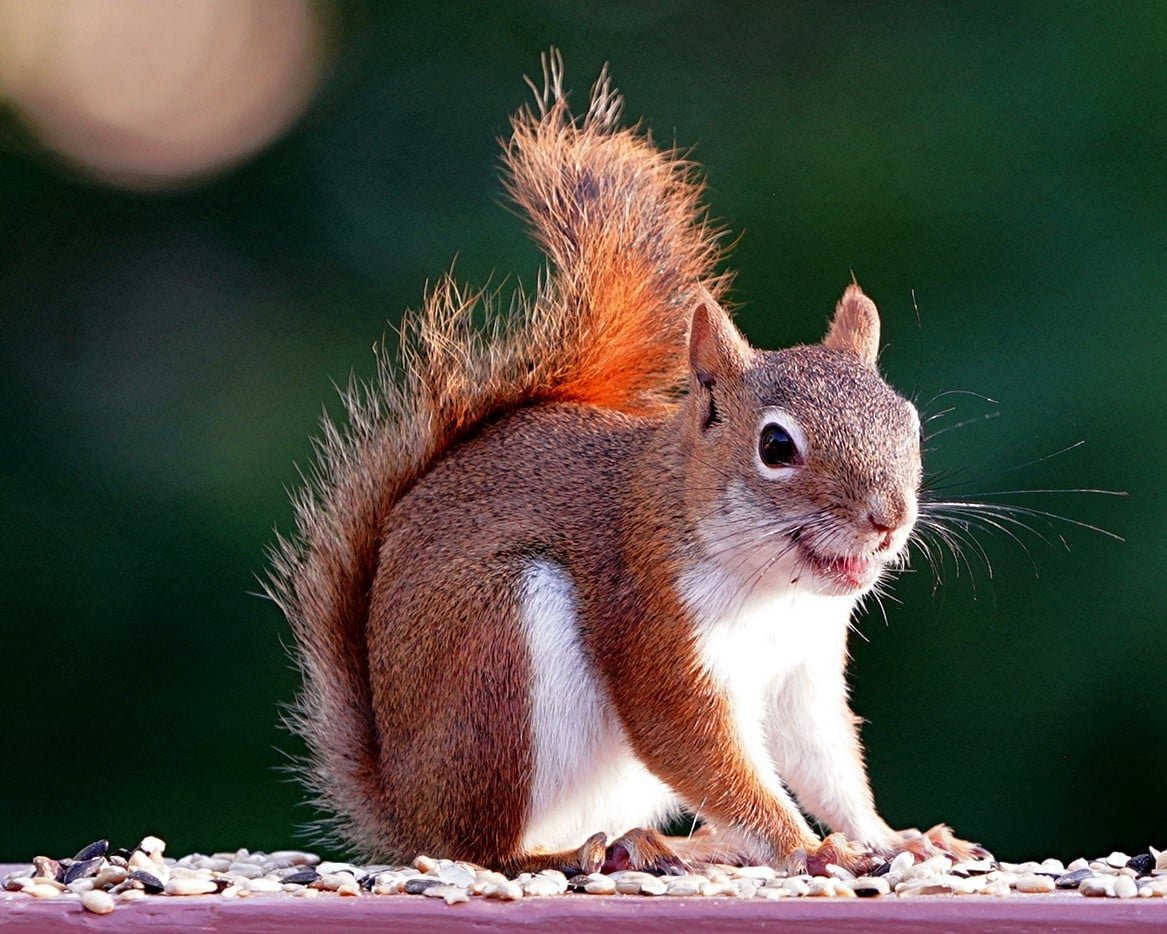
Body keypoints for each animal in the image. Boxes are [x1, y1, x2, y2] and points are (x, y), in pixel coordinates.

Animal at [267, 52, 989, 876]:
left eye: (909, 425)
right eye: (776, 447)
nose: (887, 519)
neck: (773, 590)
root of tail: (405, 808)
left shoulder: (802, 673)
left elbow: (824, 764)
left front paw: (893, 839)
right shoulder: (650, 623)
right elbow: (696, 745)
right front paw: (810, 851)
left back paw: (674, 845)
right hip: (497, 659)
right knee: (483, 849)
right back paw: (570, 856)